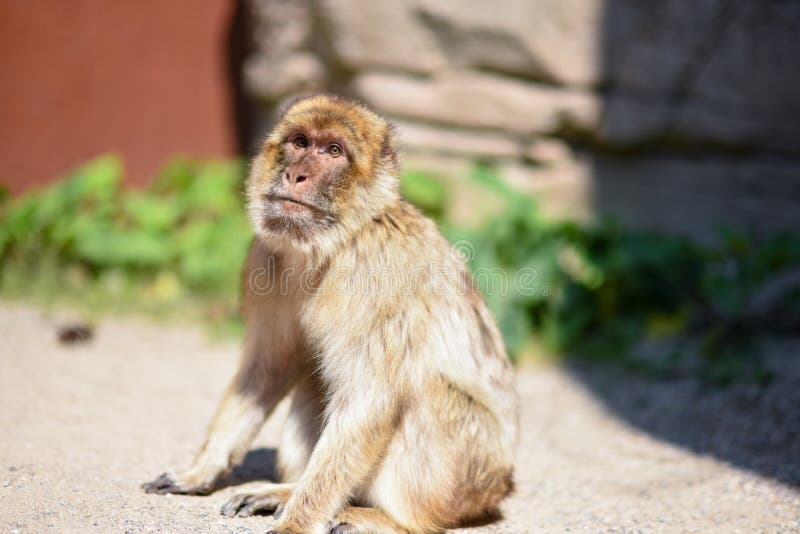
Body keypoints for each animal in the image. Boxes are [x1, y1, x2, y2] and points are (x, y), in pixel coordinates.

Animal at [142, 95, 519, 534]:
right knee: (311, 378)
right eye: (300, 142)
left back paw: (390, 519)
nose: (296, 174)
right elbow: (269, 366)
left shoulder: (376, 278)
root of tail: (500, 487)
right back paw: (287, 492)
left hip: (463, 479)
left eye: (333, 151)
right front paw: (200, 470)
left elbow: (369, 401)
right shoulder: (263, 260)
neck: (331, 247)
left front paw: (295, 525)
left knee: (426, 391)